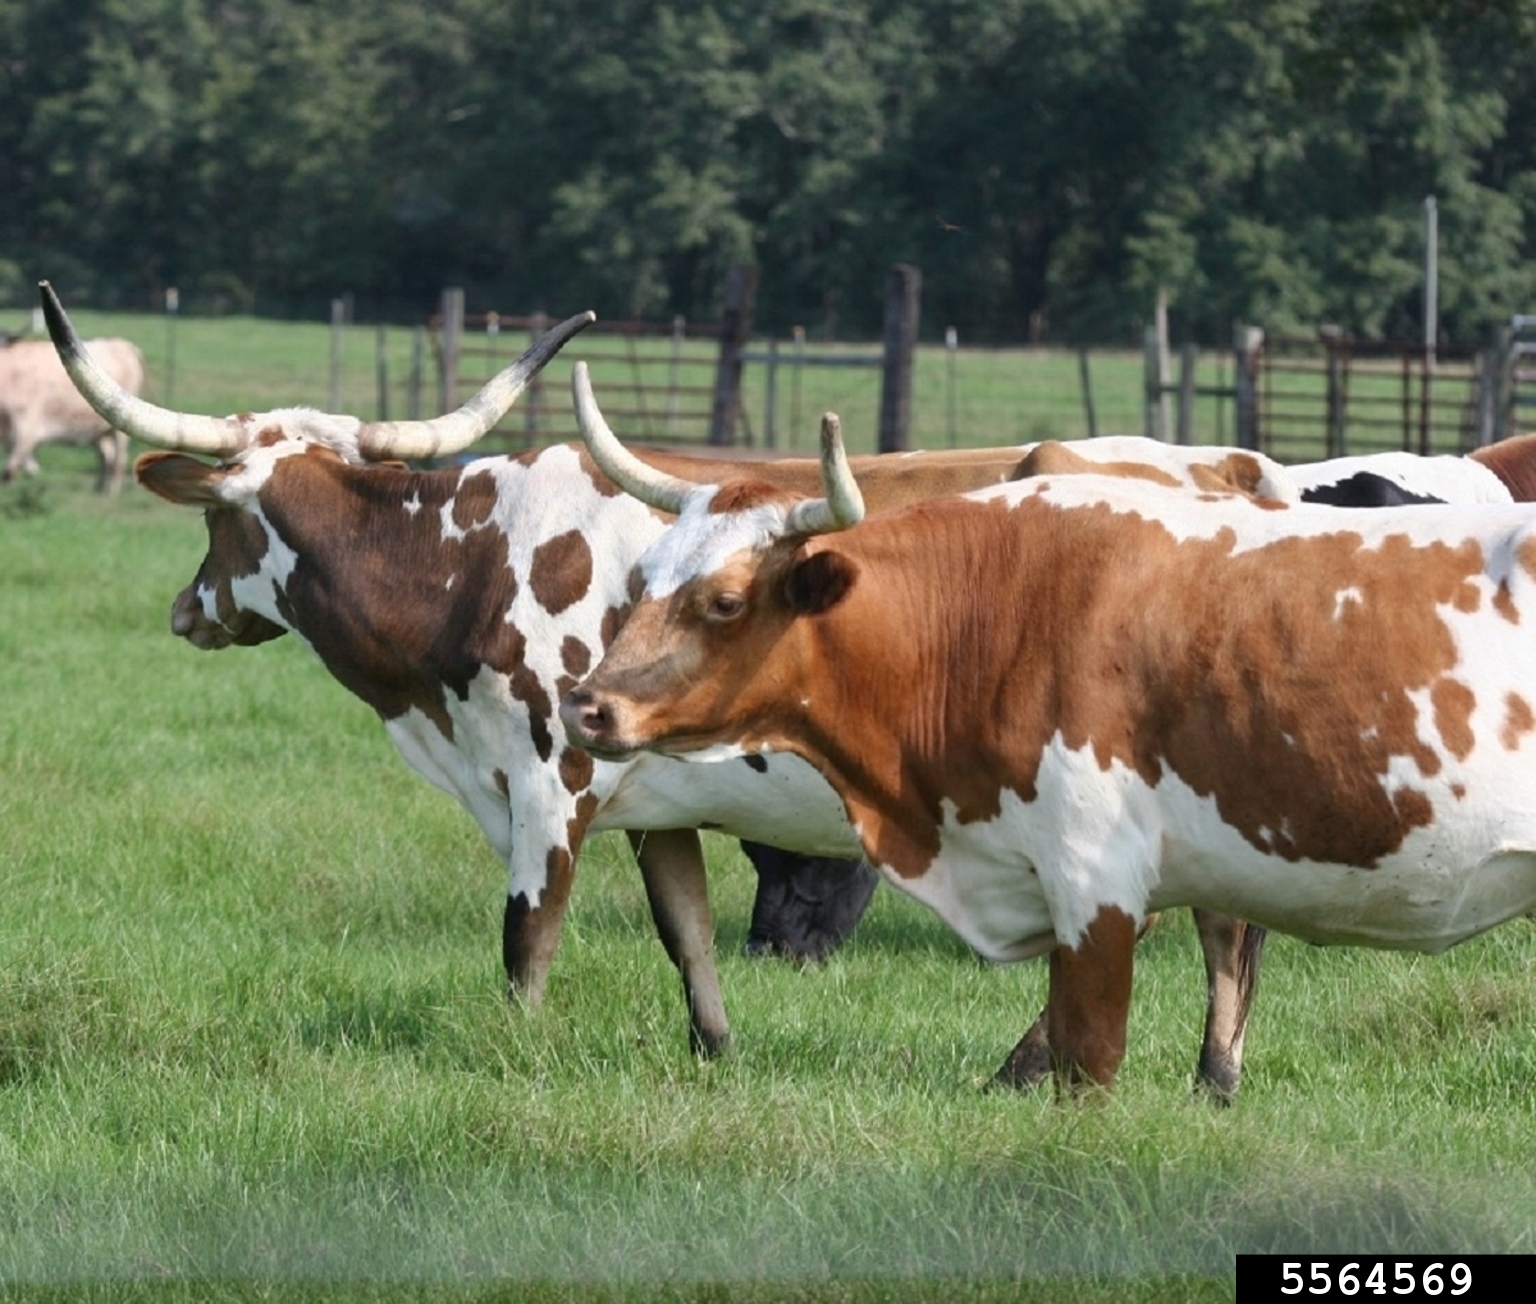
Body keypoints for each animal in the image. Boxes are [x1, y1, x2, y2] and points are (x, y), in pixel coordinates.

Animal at [1, 335, 145, 493]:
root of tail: (123, 344)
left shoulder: (26, 429)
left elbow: (10, 471)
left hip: (121, 427)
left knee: (119, 458)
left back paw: (112, 491)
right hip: (98, 429)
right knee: (106, 455)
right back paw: (99, 489)